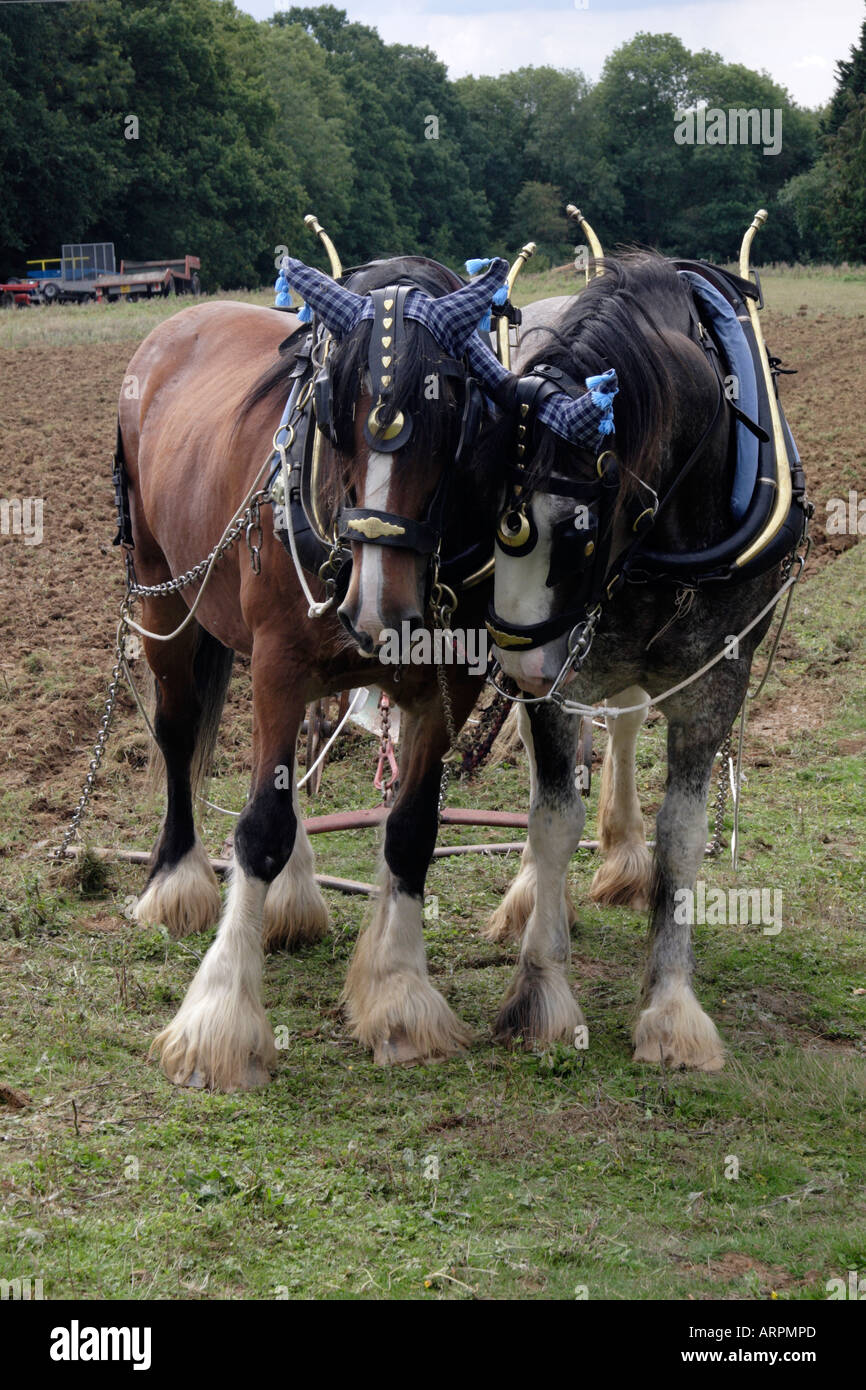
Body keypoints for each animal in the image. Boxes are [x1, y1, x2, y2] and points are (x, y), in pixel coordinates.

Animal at [464, 250, 807, 1070]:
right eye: (482, 507)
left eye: (584, 527)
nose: (519, 671)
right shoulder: (561, 681)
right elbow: (553, 816)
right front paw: (541, 989)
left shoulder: (715, 684)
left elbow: (682, 837)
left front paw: (672, 1008)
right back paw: (531, 893)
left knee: (622, 724)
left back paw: (622, 856)